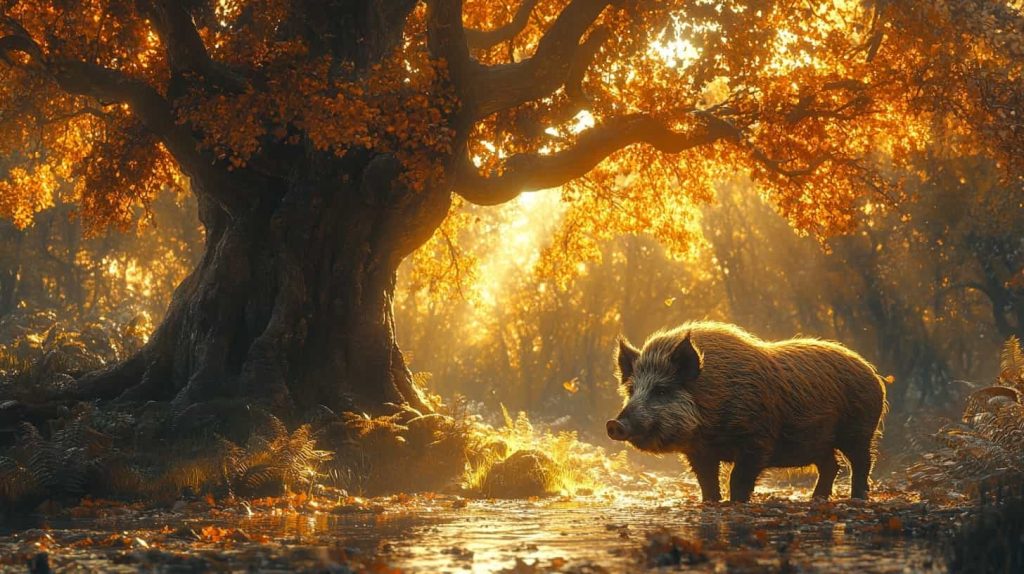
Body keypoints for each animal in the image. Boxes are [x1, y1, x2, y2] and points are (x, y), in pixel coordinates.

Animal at [606, 321, 887, 503]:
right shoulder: (698, 451)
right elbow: (706, 481)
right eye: (631, 390)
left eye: (661, 390)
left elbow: (737, 478)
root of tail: (874, 374)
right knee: (831, 465)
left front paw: (737, 503)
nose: (614, 424)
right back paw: (817, 498)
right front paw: (711, 503)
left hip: (860, 429)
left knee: (862, 462)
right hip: (820, 442)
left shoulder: (757, 441)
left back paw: (857, 498)